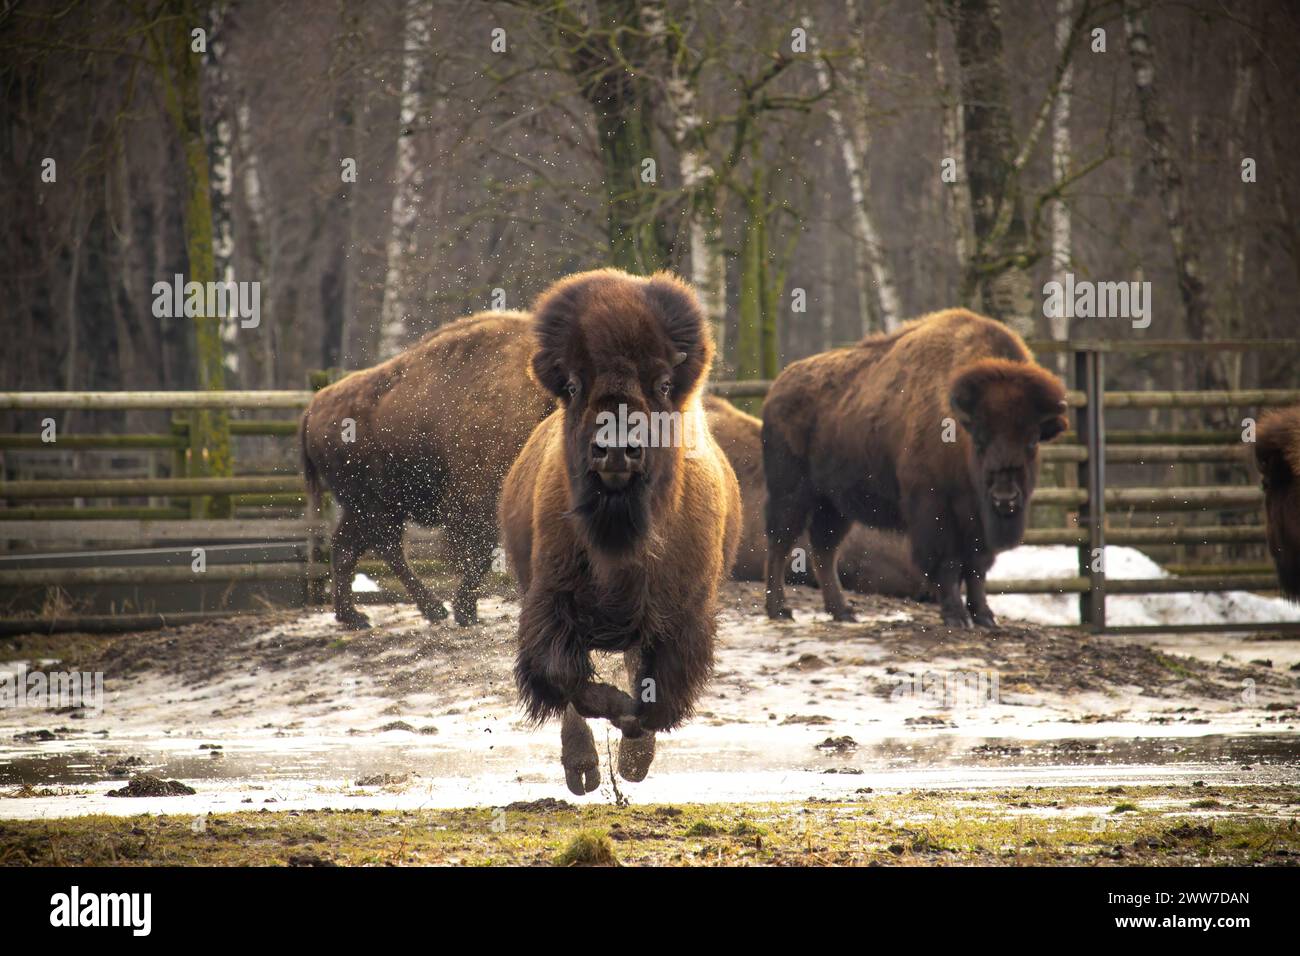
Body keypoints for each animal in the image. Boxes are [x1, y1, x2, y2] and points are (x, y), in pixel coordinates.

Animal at [761, 308, 1067, 627]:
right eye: (980, 438)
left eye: (1032, 441)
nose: (1005, 498)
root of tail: (776, 390)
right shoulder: (935, 510)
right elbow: (947, 564)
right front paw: (956, 617)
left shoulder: (977, 522)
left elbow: (977, 568)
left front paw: (984, 616)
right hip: (791, 493)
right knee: (780, 543)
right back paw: (779, 609)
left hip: (834, 504)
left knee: (824, 549)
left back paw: (842, 611)